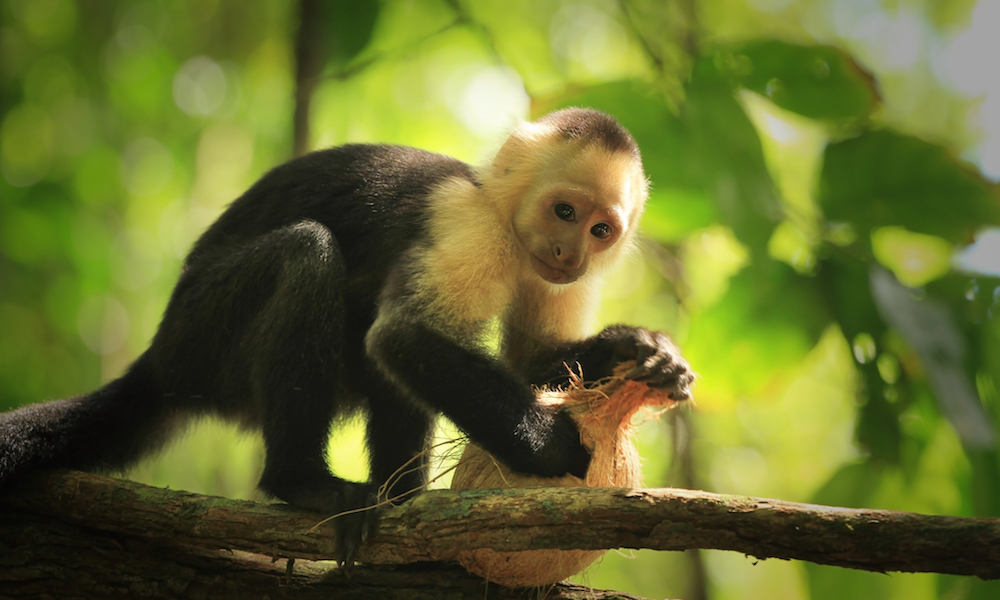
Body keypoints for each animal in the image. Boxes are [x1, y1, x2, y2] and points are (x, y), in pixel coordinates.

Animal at [0, 108, 693, 564]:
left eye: (601, 230)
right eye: (564, 211)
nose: (570, 253)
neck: (504, 218)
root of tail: (161, 359)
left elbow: (535, 362)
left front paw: (644, 352)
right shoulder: (467, 225)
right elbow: (404, 337)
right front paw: (558, 449)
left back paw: (402, 507)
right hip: (202, 338)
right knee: (309, 258)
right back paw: (303, 482)